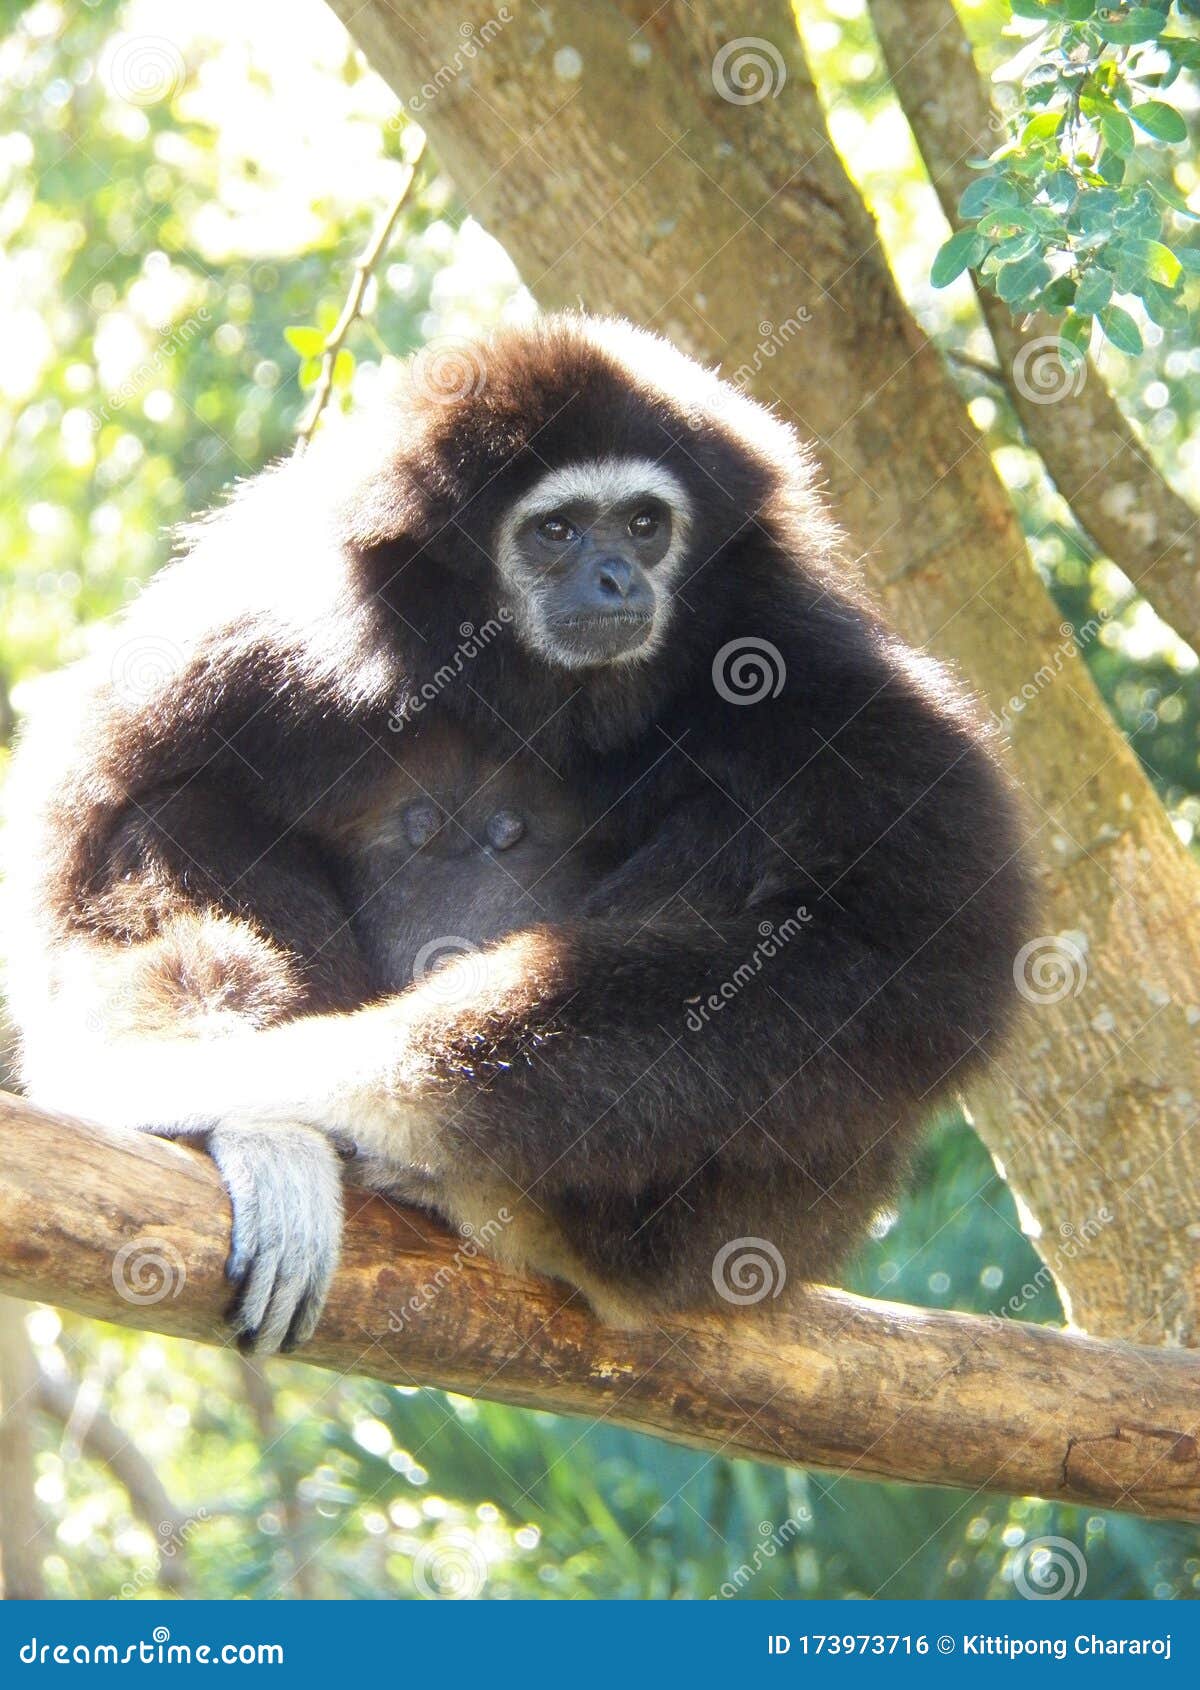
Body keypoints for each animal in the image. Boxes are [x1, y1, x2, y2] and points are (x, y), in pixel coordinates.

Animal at [3, 313, 1031, 1353]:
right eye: (557, 530)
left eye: (647, 524)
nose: (617, 576)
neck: (508, 690)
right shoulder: (261, 628)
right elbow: (90, 827)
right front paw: (259, 1131)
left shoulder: (794, 650)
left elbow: (919, 944)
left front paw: (271, 1085)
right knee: (178, 808)